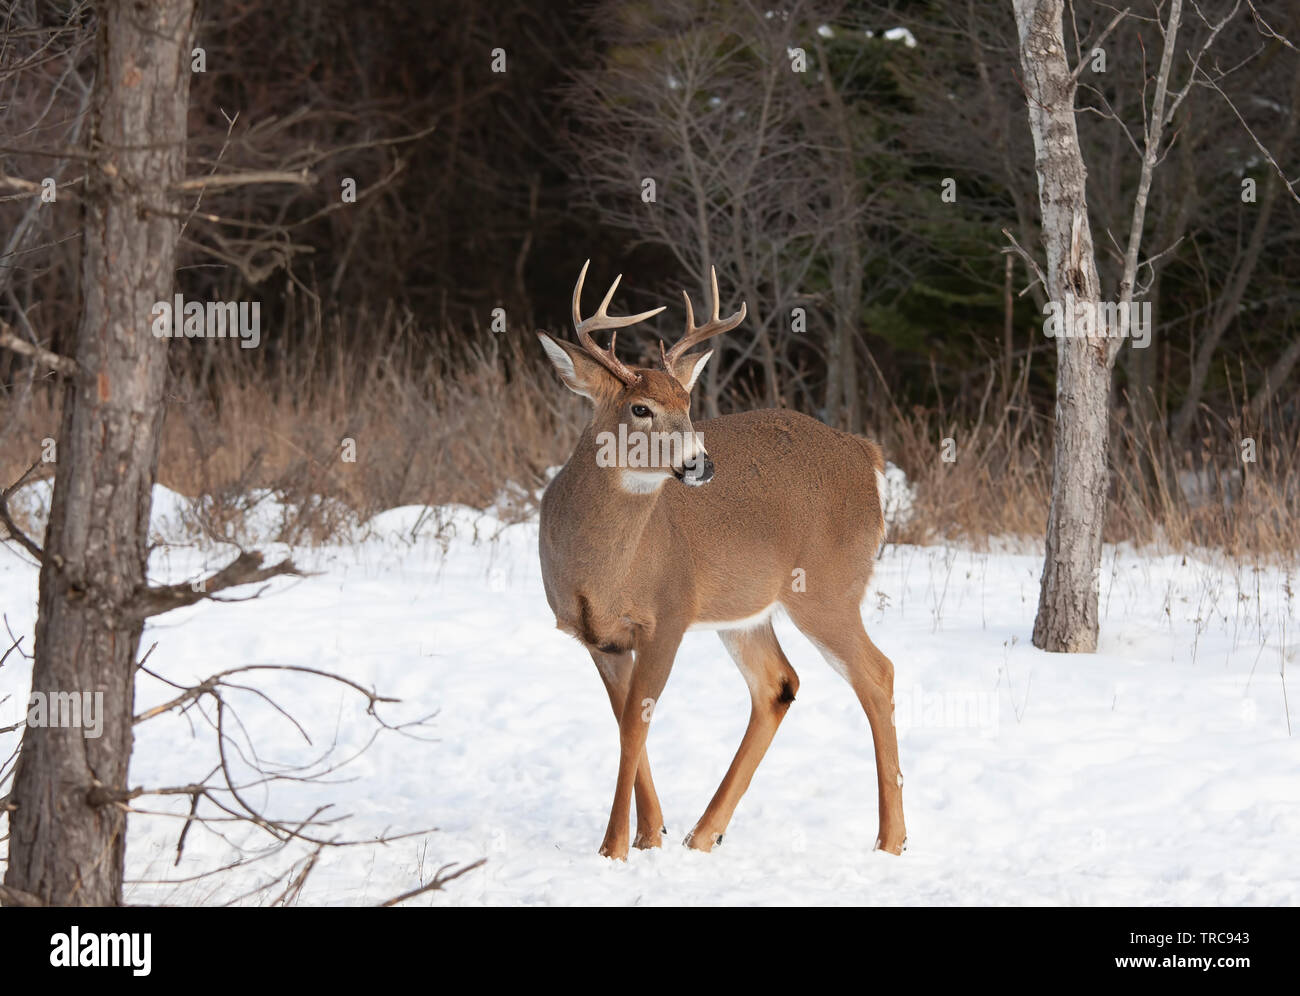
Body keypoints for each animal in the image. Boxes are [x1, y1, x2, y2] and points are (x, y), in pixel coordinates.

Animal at [536, 260, 906, 861]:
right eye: (640, 408)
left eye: (687, 405)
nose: (699, 463)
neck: (602, 571)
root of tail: (865, 453)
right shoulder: (596, 637)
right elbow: (623, 722)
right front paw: (651, 834)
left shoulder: (669, 614)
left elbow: (635, 725)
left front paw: (614, 848)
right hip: (746, 609)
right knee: (778, 683)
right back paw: (703, 833)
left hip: (827, 586)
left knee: (878, 673)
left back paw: (891, 841)